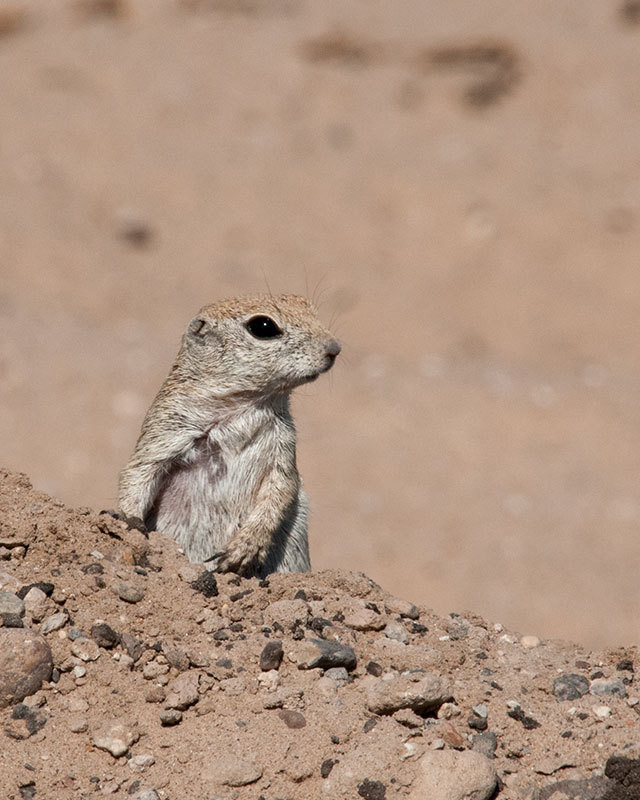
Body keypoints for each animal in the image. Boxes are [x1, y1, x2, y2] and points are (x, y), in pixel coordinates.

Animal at [117, 294, 340, 578]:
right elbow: (138, 474)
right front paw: (131, 524)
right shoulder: (167, 430)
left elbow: (281, 489)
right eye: (263, 327)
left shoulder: (283, 447)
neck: (247, 405)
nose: (334, 348)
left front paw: (244, 547)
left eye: (305, 304)